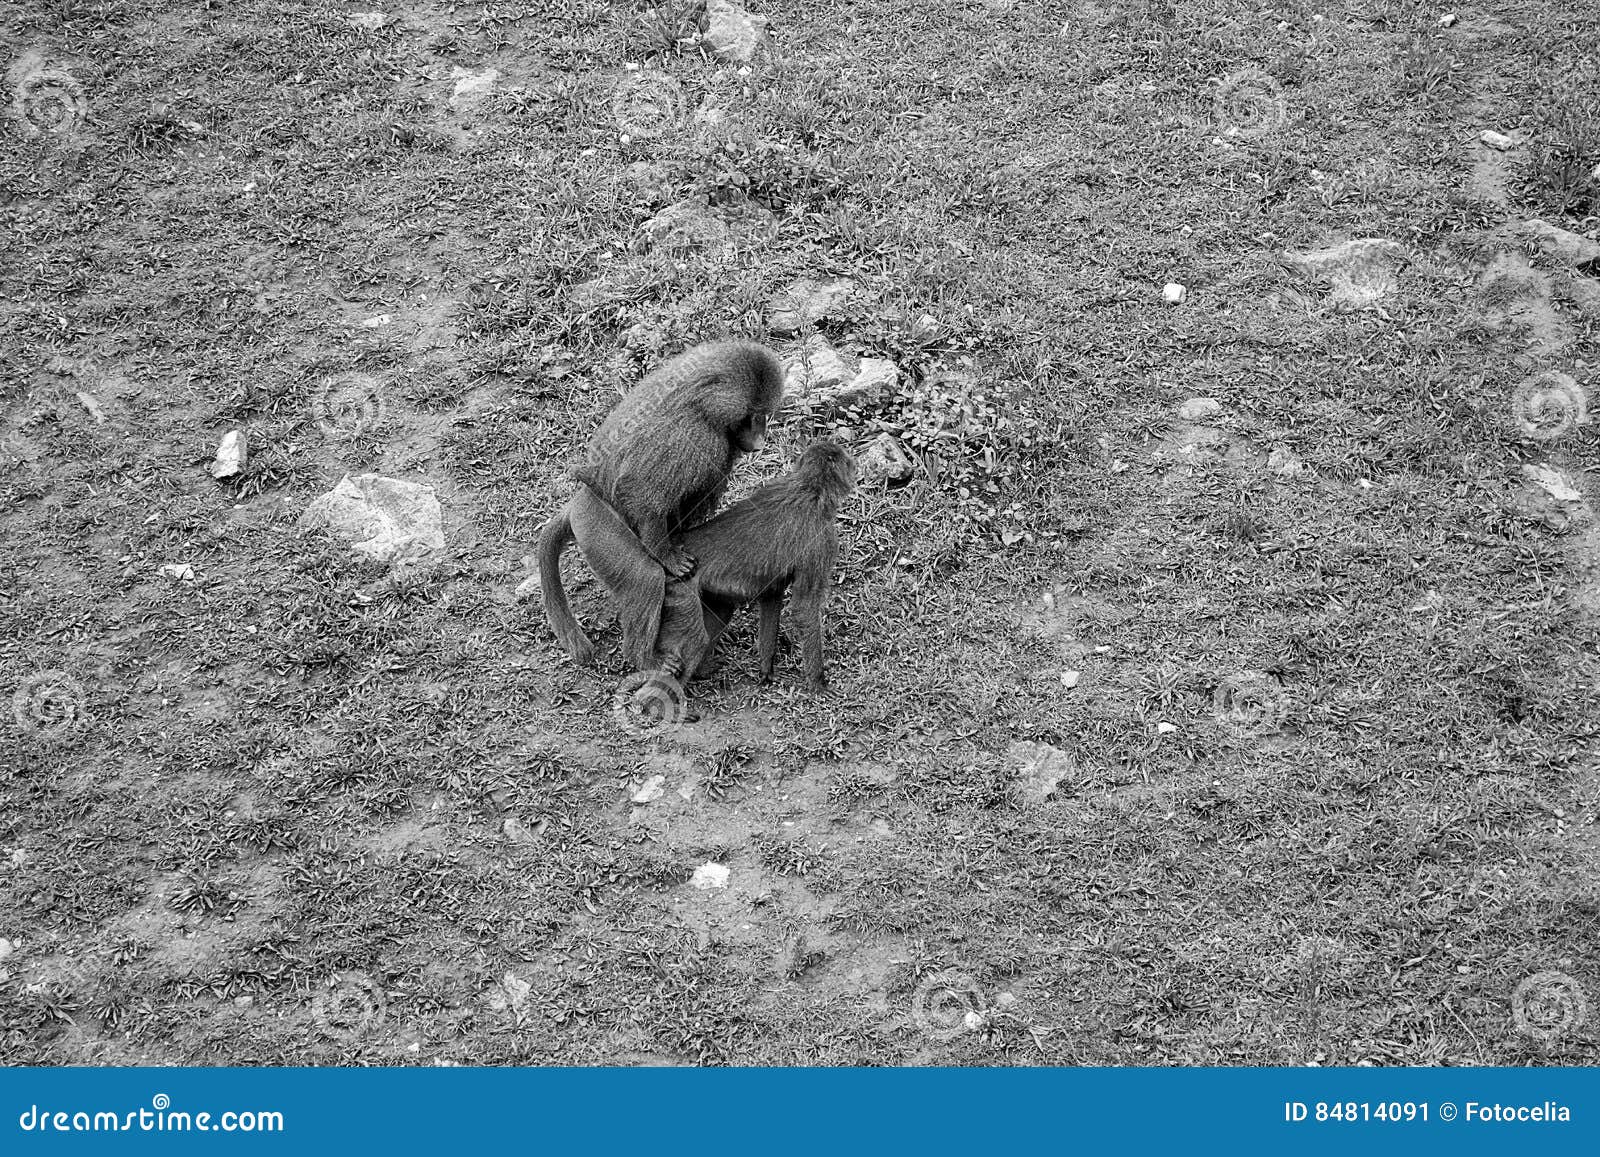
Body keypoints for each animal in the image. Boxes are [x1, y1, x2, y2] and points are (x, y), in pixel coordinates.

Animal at [537, 340, 785, 668]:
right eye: (753, 415)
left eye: (764, 415)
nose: (761, 440)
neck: (703, 401)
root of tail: (581, 499)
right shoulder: (695, 437)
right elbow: (642, 493)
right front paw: (669, 557)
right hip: (597, 526)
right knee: (645, 578)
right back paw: (645, 659)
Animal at [625, 439, 856, 721]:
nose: (854, 469)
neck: (808, 487)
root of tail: (667, 556)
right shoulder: (822, 541)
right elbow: (804, 607)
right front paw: (818, 684)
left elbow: (772, 595)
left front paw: (766, 670)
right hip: (679, 587)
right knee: (693, 641)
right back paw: (652, 704)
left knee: (720, 613)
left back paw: (699, 672)